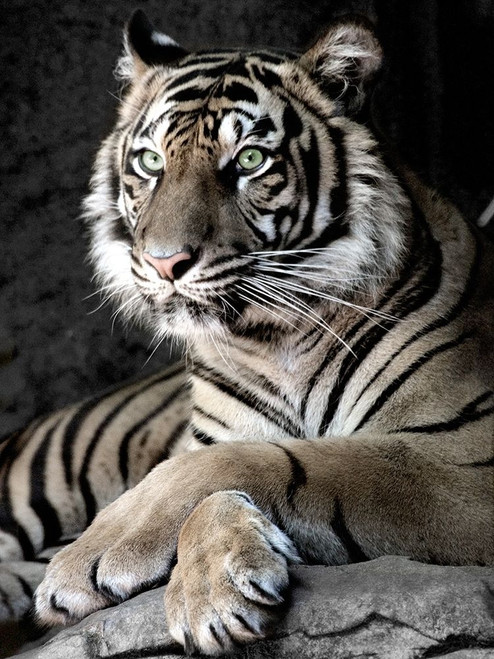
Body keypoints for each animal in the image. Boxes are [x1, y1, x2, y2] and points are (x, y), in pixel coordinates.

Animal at [1, 8, 493, 657]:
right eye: (151, 164)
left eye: (252, 160)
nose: (164, 263)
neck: (273, 341)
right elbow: (221, 466)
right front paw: (209, 588)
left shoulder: (470, 458)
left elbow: (265, 463)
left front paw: (122, 559)